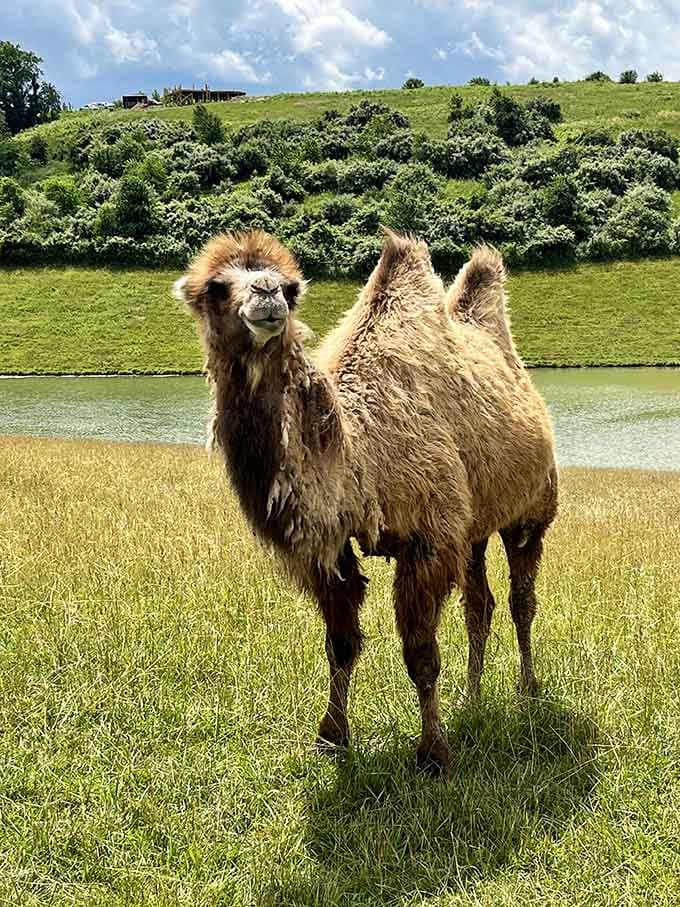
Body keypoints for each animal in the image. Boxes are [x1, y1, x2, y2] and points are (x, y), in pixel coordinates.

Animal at [174, 229, 558, 775]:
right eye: (216, 287)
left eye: (290, 289)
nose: (267, 296)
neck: (358, 453)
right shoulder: (332, 550)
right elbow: (340, 644)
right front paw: (332, 737)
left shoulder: (429, 540)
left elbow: (421, 654)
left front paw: (433, 753)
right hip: (475, 527)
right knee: (479, 605)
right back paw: (473, 698)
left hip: (532, 509)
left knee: (521, 600)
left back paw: (527, 691)